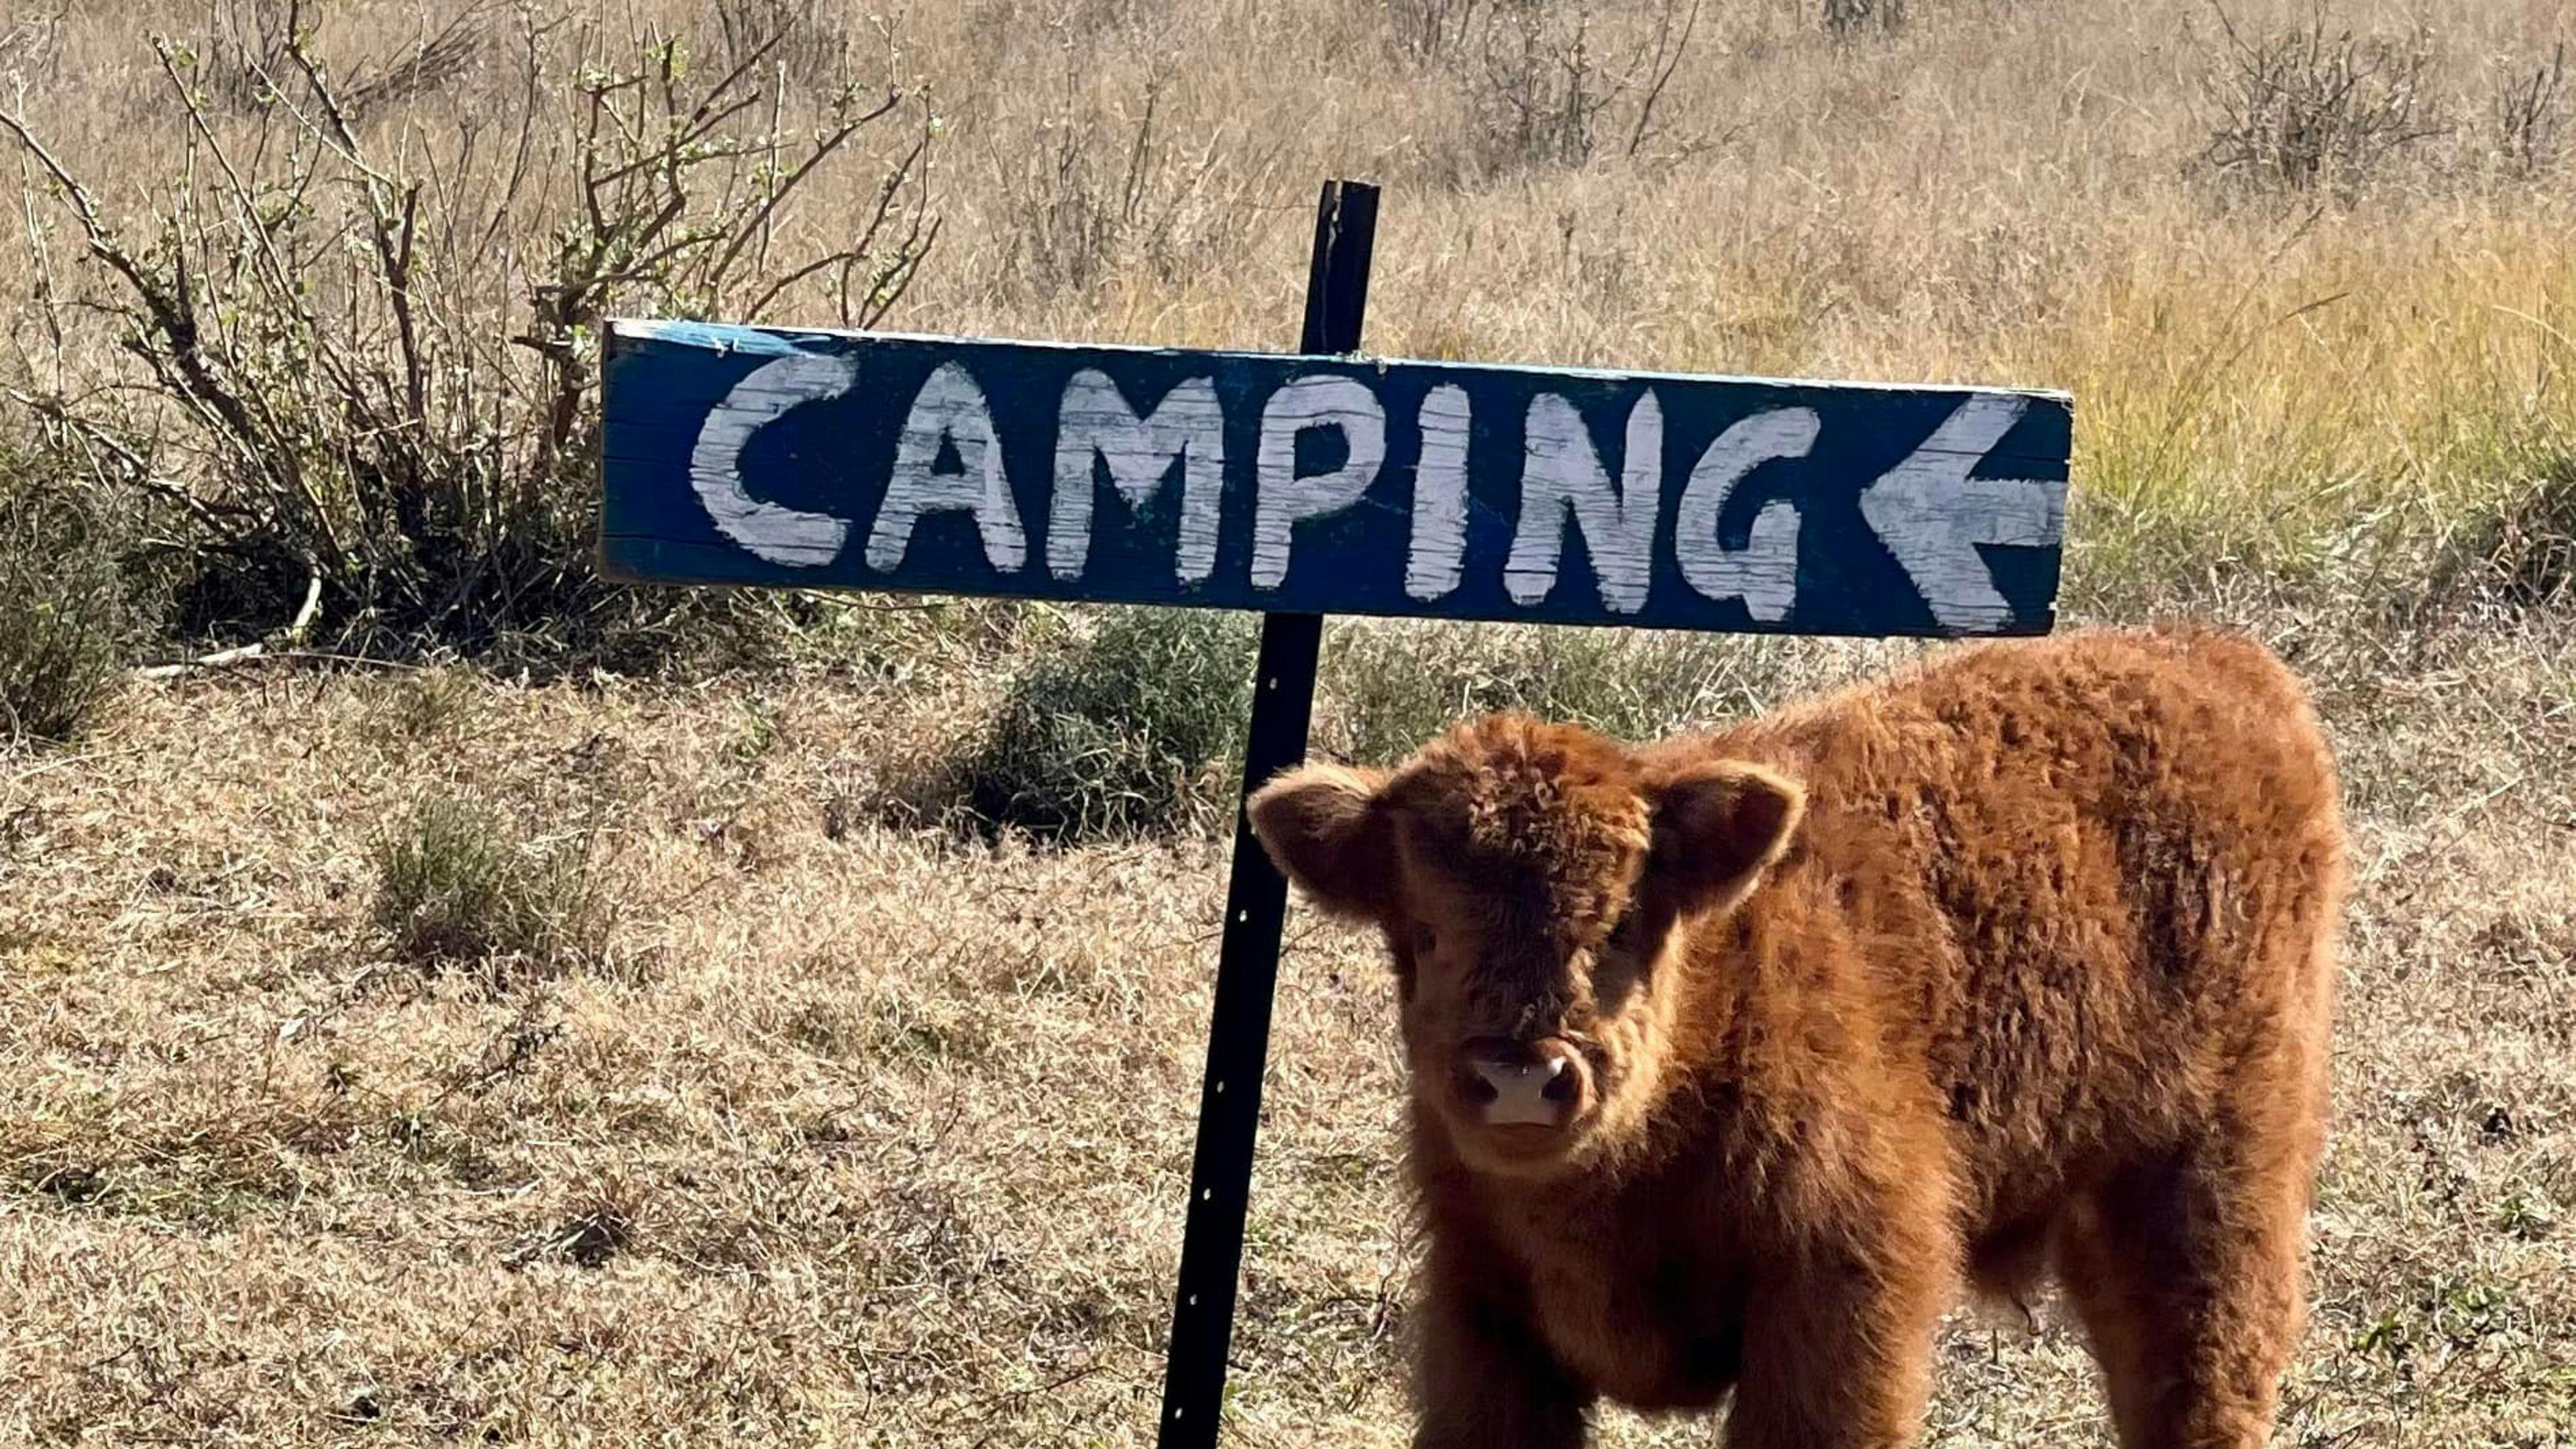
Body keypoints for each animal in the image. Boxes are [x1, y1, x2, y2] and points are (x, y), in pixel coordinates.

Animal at [1247, 626, 2345, 1449]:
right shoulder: (1482, 1317)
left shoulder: (1837, 1301)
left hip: (2212, 1189)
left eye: (1623, 923)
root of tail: (2222, 662)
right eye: (1424, 934)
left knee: (2201, 1378)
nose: (1522, 1079)